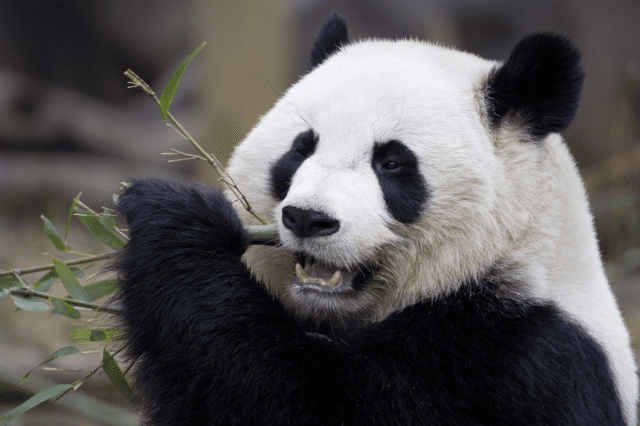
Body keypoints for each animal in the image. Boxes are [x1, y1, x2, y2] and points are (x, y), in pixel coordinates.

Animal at [115, 13, 638, 426]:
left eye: (391, 162)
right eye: (301, 148)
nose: (308, 219)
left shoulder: (518, 362)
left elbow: (293, 396)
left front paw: (174, 217)